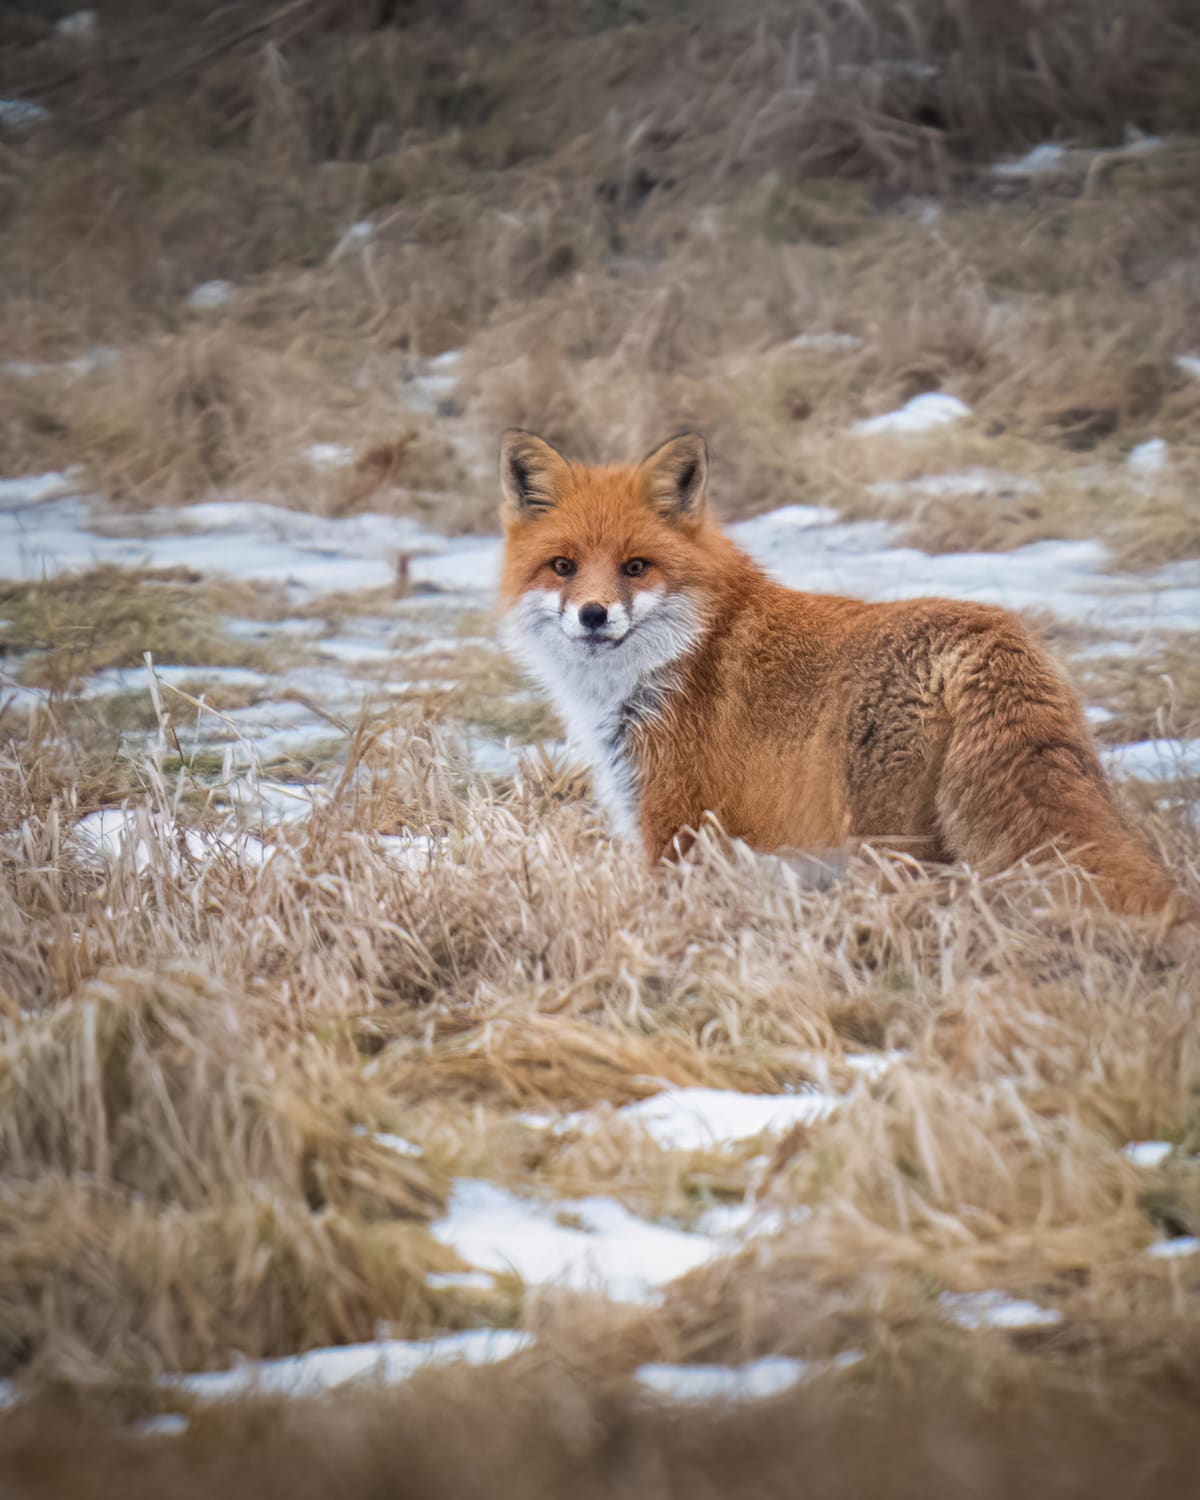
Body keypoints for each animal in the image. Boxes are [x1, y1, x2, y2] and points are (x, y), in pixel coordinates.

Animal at [498, 427, 1194, 930]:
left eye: (636, 567)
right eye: (563, 566)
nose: (593, 615)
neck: (678, 654)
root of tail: (991, 630)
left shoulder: (676, 826)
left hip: (887, 845)